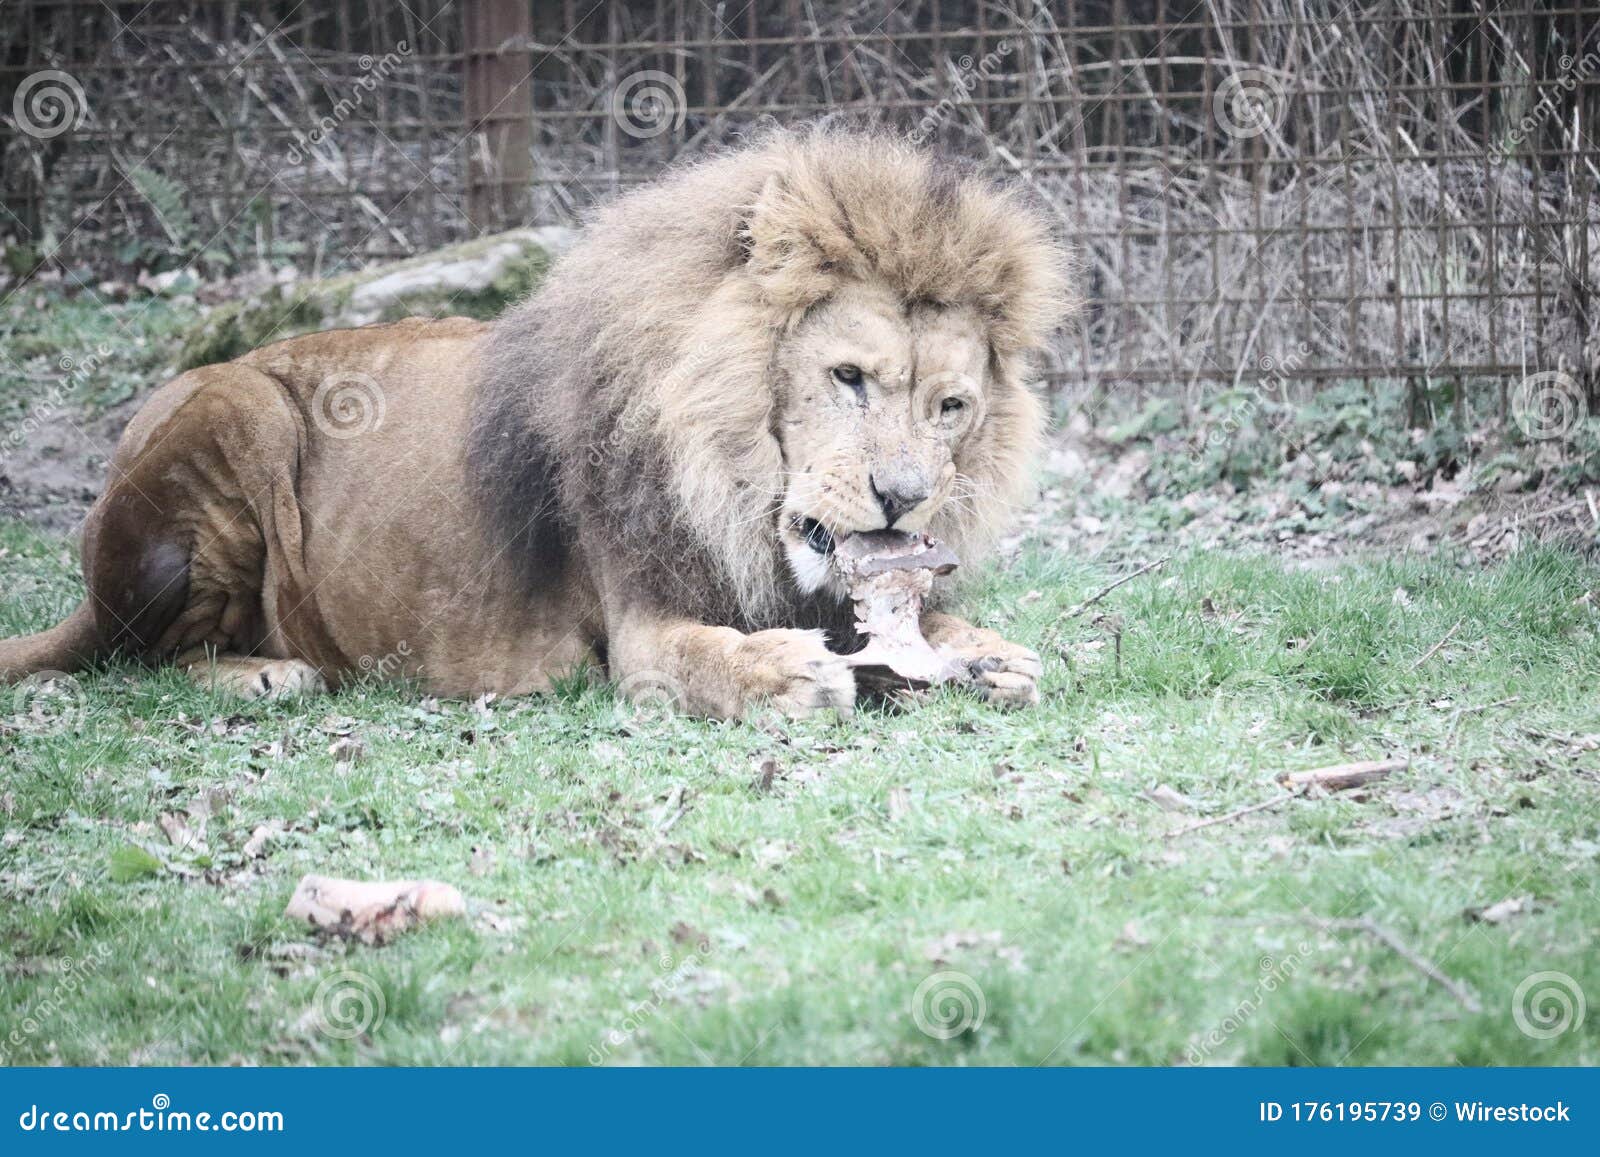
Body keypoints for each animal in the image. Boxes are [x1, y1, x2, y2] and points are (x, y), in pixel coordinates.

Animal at [0, 128, 1072, 718]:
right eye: (848, 377)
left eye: (951, 408)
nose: (904, 499)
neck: (735, 486)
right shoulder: (635, 634)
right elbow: (705, 658)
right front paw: (786, 672)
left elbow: (942, 628)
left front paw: (995, 654)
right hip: (242, 406)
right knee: (142, 655)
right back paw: (264, 676)